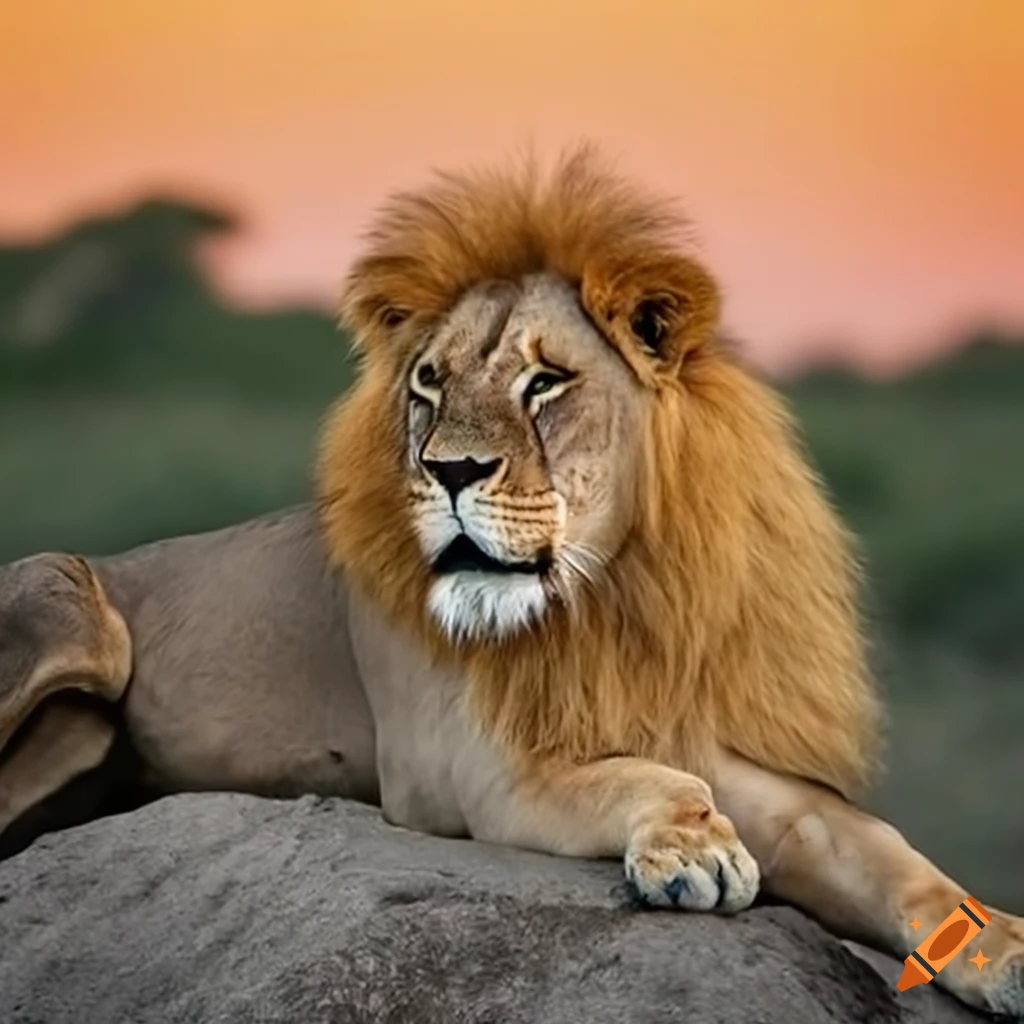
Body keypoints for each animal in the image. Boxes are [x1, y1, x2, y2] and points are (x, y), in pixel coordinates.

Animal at [0, 147, 1021, 1016]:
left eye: (545, 384)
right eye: (428, 382)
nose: (450, 470)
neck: (614, 592)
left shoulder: (706, 729)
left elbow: (880, 850)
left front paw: (1002, 947)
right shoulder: (470, 771)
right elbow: (644, 777)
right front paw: (691, 846)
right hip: (69, 609)